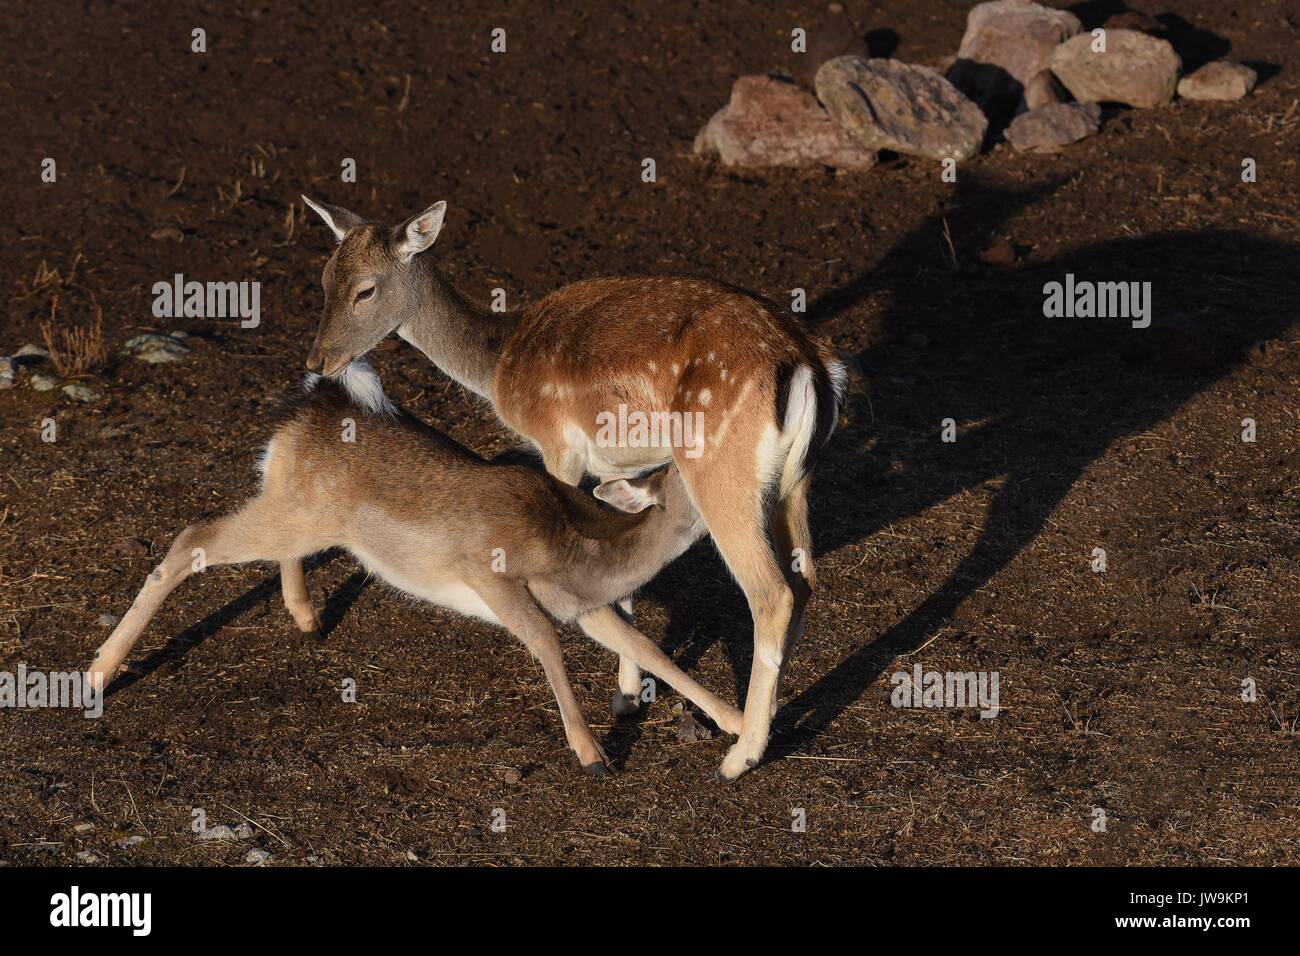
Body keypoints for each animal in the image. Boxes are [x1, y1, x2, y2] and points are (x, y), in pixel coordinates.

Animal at [87, 362, 743, 775]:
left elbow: (648, 648)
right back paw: (97, 674)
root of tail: (305, 410)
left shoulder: (585, 606)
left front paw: (736, 722)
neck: (581, 553)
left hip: (298, 509)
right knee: (190, 537)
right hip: (298, 513)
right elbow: (545, 643)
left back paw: (307, 618)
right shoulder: (490, 574)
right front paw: (593, 757)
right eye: (688, 469)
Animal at [301, 197, 846, 779]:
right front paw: (627, 696)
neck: (498, 363)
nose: (317, 360)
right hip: (795, 480)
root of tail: (811, 366)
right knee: (805, 579)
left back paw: (740, 755)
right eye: (324, 278)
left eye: (366, 290)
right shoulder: (614, 464)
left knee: (770, 593)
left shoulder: (557, 444)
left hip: (721, 471)